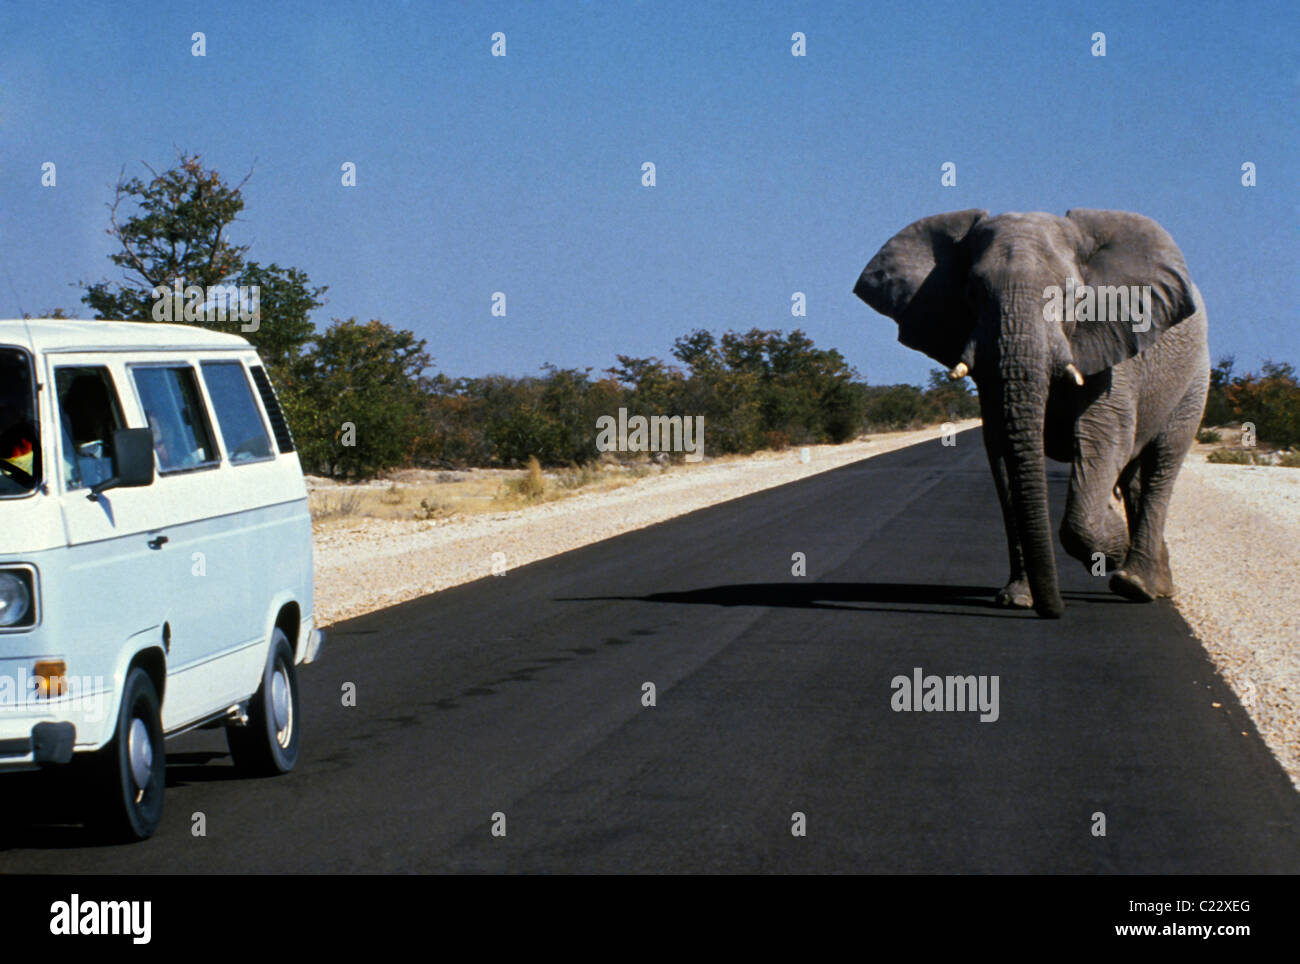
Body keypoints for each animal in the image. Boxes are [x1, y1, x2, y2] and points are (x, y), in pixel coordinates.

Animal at [853, 209, 1209, 618]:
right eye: (972, 294)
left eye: (1071, 297)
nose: (1054, 610)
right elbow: (1003, 454)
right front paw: (1018, 599)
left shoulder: (1115, 353)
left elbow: (1103, 440)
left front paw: (1110, 544)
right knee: (1136, 476)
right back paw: (1153, 583)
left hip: (1195, 378)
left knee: (1162, 464)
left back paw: (1135, 584)